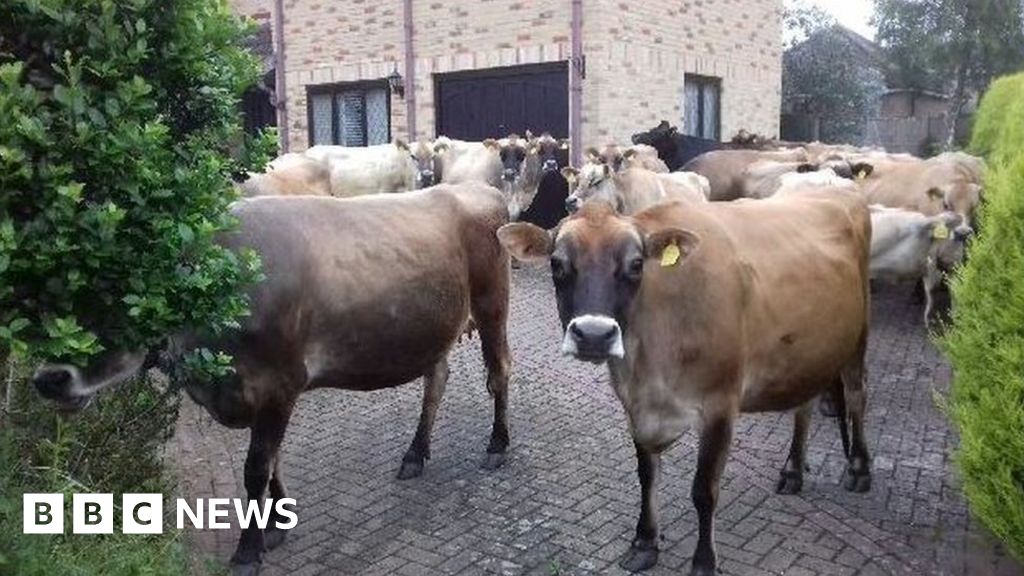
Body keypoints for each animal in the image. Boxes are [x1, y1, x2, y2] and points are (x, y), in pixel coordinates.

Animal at [31, 184, 513, 575]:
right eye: (44, 297)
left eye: (121, 302)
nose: (48, 379)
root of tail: (480, 189)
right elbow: (274, 460)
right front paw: (277, 524)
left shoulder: (280, 383)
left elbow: (256, 467)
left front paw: (248, 550)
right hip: (434, 329)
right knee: (437, 379)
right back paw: (415, 454)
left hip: (492, 306)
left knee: (499, 373)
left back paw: (497, 445)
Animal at [496, 194, 873, 575]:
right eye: (557, 263)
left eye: (636, 265)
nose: (594, 335)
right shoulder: (636, 408)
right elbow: (647, 475)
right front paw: (645, 542)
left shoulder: (721, 405)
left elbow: (704, 491)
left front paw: (704, 562)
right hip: (807, 354)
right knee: (804, 407)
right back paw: (793, 471)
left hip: (858, 338)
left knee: (857, 397)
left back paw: (859, 469)